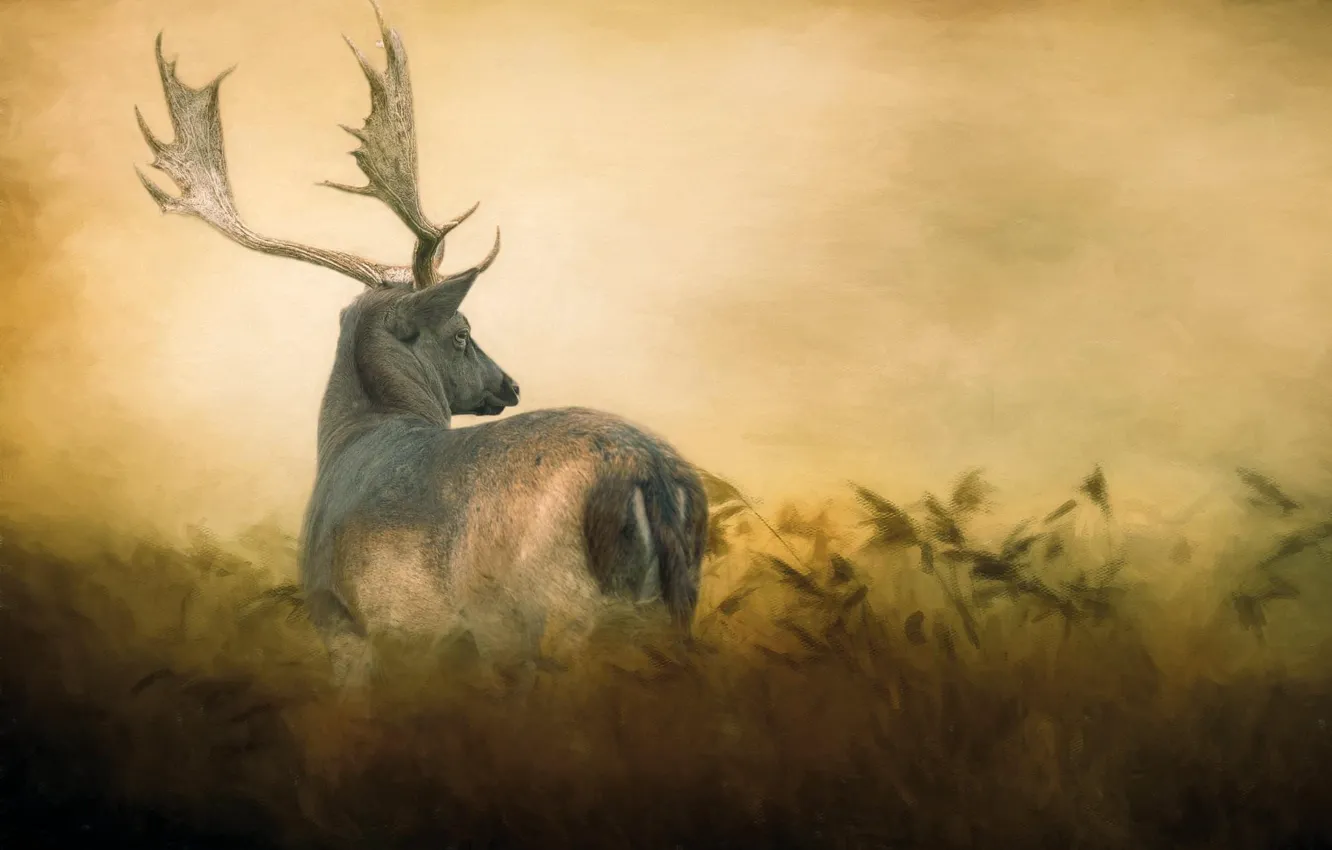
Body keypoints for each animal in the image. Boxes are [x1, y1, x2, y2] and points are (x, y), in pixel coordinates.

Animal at [133, 1, 708, 687]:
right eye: (462, 334)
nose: (510, 382)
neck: (355, 439)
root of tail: (647, 473)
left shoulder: (341, 618)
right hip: (672, 606)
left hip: (537, 610)